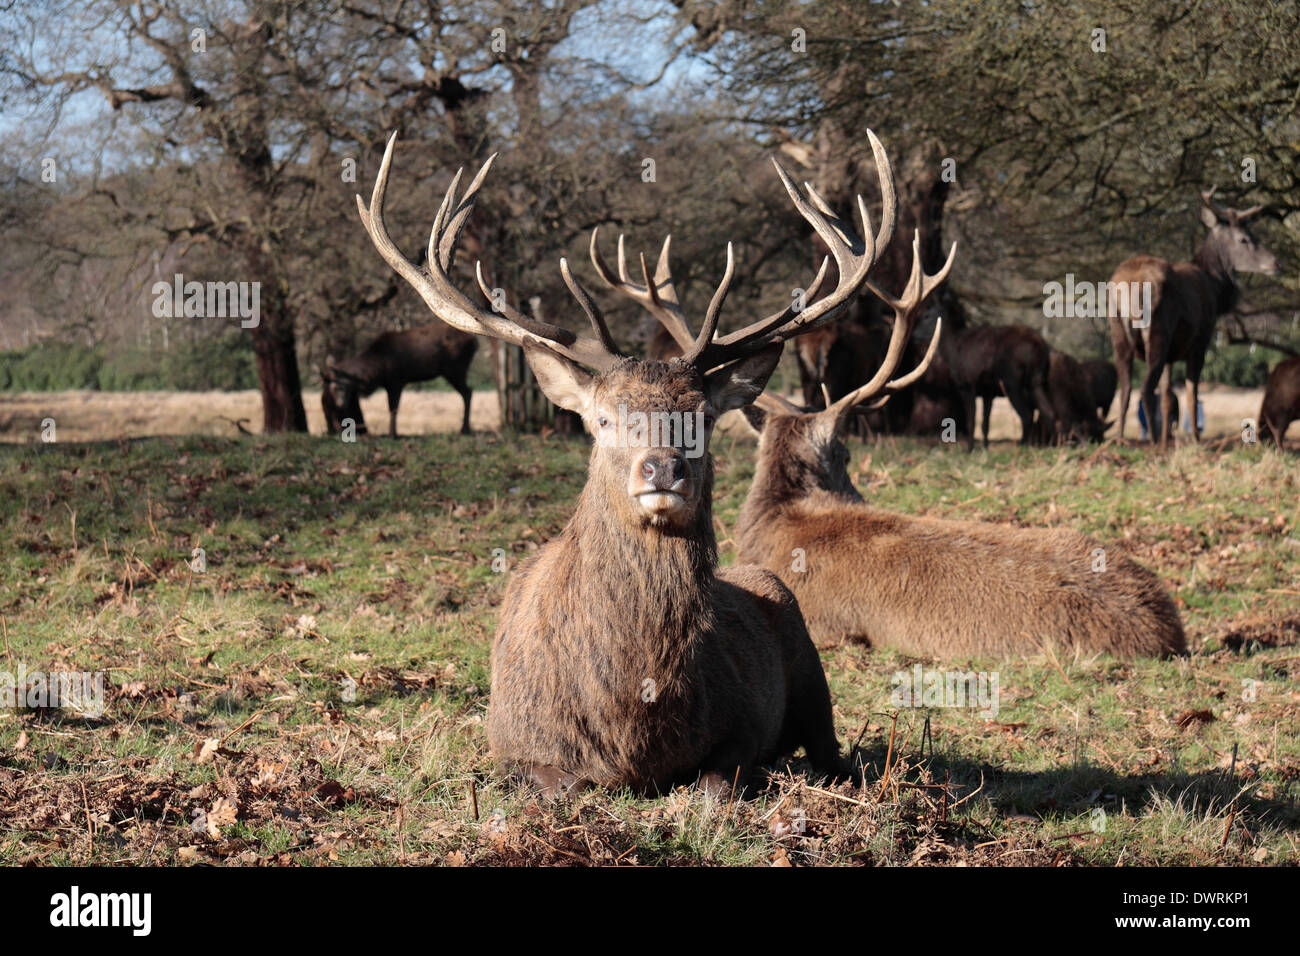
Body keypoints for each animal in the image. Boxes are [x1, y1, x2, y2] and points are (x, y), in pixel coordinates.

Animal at [320, 323, 477, 437]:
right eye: (332, 387)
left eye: (340, 386)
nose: (340, 404)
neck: (377, 370)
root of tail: (475, 342)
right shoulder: (389, 384)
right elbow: (392, 407)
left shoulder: (396, 381)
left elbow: (393, 408)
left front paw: (393, 434)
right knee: (467, 392)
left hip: (455, 369)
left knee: (467, 392)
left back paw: (464, 429)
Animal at [354, 132, 907, 796]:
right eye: (602, 419)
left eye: (703, 417)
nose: (662, 468)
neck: (629, 716)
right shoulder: (510, 739)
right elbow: (566, 781)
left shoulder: (745, 726)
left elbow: (717, 782)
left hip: (816, 681)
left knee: (833, 753)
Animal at [1109, 189, 1279, 447]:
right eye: (1244, 239)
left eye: (1254, 233)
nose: (1275, 263)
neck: (1217, 291)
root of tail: (1128, 286)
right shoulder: (1201, 341)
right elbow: (1192, 393)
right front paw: (1196, 440)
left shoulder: (1171, 355)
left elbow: (1168, 396)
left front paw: (1171, 440)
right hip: (1157, 330)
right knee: (1146, 388)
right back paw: (1154, 442)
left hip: (1118, 331)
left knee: (1126, 388)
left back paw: (1120, 439)